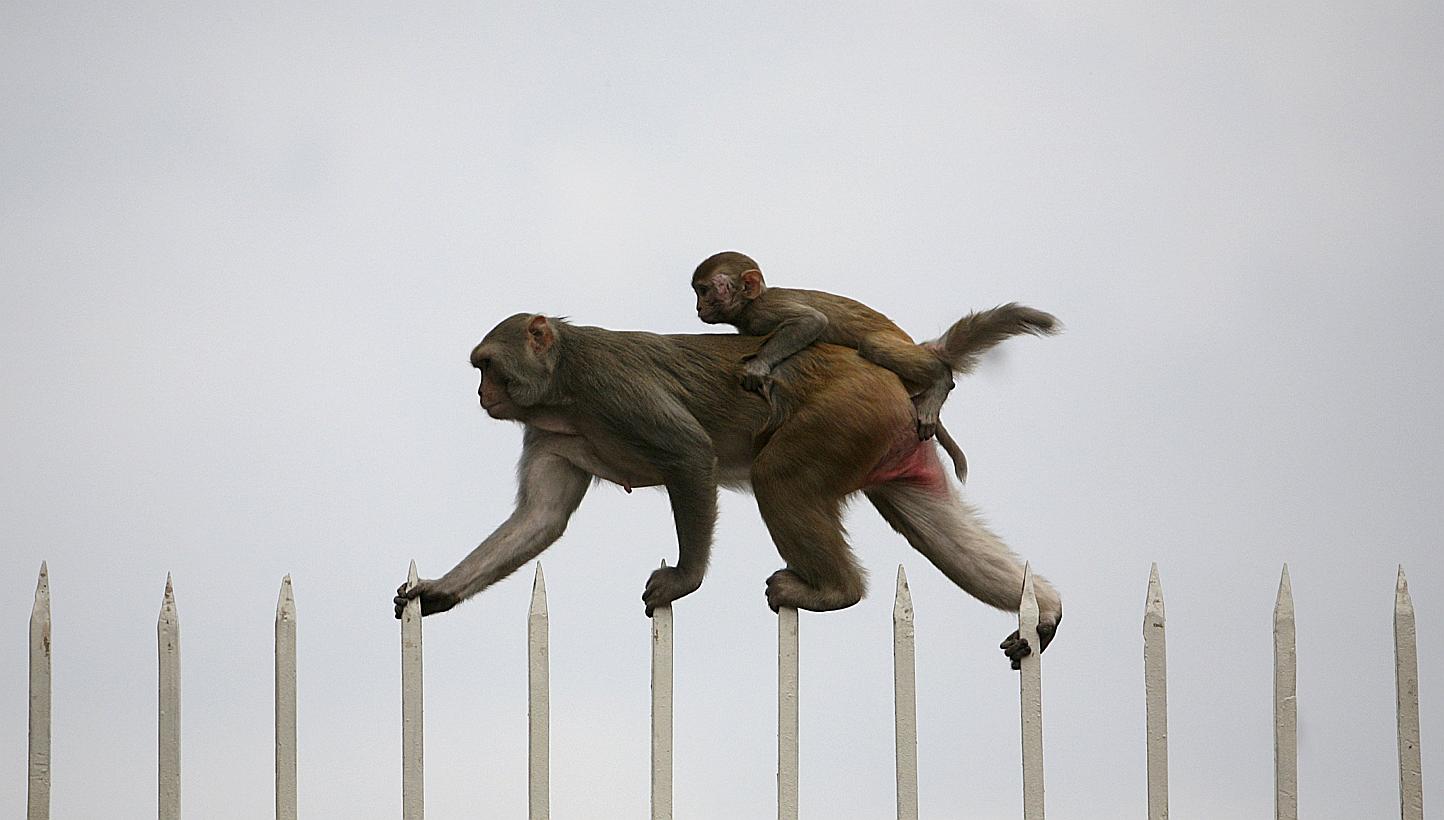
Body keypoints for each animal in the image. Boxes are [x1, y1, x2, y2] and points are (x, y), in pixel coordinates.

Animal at [393, 308, 1062, 668]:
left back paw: (834, 591)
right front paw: (438, 592)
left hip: (848, 413)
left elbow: (691, 453)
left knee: (779, 478)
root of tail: (889, 371)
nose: (481, 393)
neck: (562, 388)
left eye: (487, 366)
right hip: (889, 437)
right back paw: (1046, 611)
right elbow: (540, 518)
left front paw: (683, 581)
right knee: (928, 523)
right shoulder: (548, 431)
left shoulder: (611, 386)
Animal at [691, 251, 1057, 484]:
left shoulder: (763, 312)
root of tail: (917, 344)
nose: (698, 307)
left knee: (875, 346)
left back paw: (941, 380)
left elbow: (811, 322)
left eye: (705, 290)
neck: (749, 305)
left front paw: (759, 366)